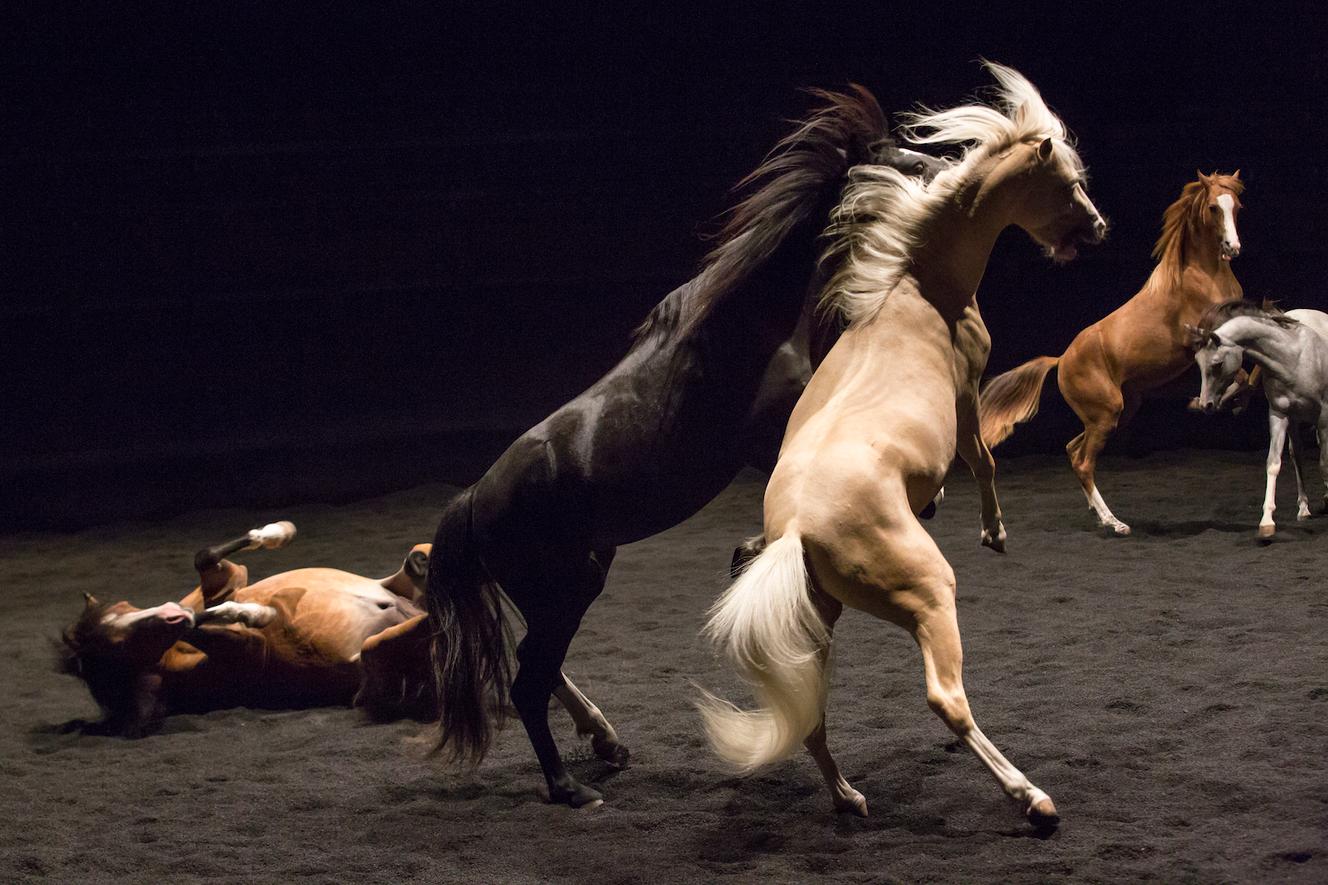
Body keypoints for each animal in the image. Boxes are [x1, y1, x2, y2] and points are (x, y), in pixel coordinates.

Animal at [57, 521, 439, 734]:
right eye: (120, 647)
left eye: (120, 608)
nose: (166, 615)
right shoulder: (248, 651)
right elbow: (205, 621)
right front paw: (256, 613)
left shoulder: (223, 584)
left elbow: (207, 558)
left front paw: (279, 532)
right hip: (375, 653)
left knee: (417, 560)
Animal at [427, 87, 948, 808]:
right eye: (904, 162)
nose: (948, 169)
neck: (746, 328)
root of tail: (475, 501)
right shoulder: (772, 435)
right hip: (564, 588)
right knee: (529, 680)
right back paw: (569, 787)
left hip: (576, 581)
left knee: (538, 665)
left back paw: (607, 743)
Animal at [696, 62, 1106, 828]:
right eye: (1067, 182)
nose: (1097, 226)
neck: (916, 287)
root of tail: (794, 531)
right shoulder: (968, 389)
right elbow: (983, 458)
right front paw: (992, 531)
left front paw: (940, 497)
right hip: (927, 595)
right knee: (946, 698)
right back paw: (1030, 797)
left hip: (820, 619)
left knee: (811, 709)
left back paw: (850, 798)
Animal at [979, 171, 1245, 535]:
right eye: (1214, 207)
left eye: (1237, 206)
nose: (1233, 247)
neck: (1203, 277)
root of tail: (1061, 360)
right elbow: (1239, 372)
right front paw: (1206, 402)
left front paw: (1219, 401)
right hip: (1105, 414)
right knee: (1083, 461)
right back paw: (1114, 523)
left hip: (1115, 412)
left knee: (1073, 450)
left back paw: (1099, 513)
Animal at [1190, 301, 1328, 538]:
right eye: (1198, 362)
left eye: (1217, 364)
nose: (1205, 405)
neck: (1293, 358)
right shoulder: (1279, 415)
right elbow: (1273, 463)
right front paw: (1266, 522)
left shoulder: (1324, 416)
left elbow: (1323, 462)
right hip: (1294, 421)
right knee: (1297, 454)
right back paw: (1303, 508)